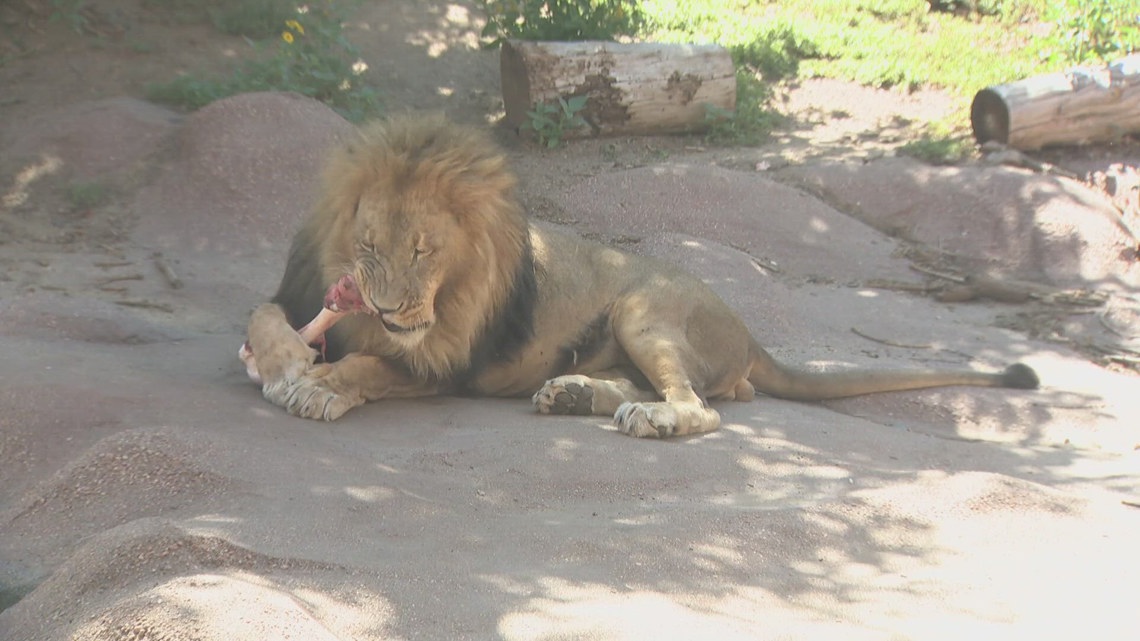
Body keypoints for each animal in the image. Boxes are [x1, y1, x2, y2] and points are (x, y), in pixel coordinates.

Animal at [244, 115, 1039, 438]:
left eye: (424, 251)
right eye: (368, 244)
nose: (386, 309)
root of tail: (748, 332)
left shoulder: (446, 367)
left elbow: (374, 367)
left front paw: (320, 386)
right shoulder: (300, 291)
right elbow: (264, 314)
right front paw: (284, 359)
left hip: (644, 309)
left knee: (703, 406)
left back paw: (648, 418)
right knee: (668, 389)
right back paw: (574, 394)